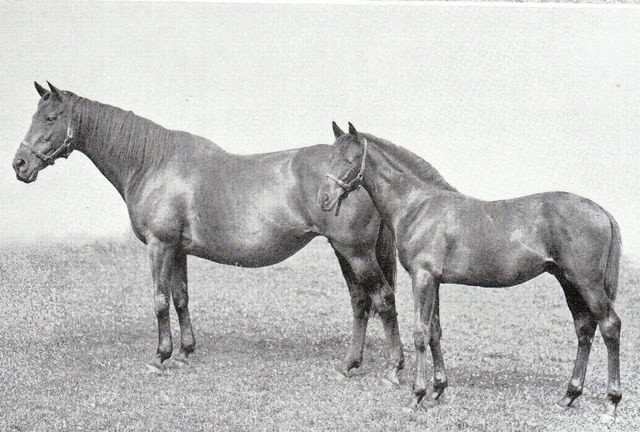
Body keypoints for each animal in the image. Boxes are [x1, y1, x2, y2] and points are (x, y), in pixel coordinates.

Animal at [12, 82, 405, 383]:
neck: (152, 162)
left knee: (383, 299)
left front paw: (160, 356)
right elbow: (181, 298)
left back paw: (395, 370)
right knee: (360, 302)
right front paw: (186, 351)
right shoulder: (177, 249)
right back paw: (349, 365)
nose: (20, 165)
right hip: (344, 252)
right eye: (33, 117)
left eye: (50, 118)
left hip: (356, 252)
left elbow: (159, 300)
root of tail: (361, 174)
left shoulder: (159, 246)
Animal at [318, 122, 622, 420]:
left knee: (610, 326)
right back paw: (569, 396)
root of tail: (603, 212)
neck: (417, 205)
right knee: (584, 329)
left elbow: (420, 333)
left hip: (587, 283)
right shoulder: (434, 281)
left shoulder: (422, 277)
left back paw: (611, 403)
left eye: (350, 160)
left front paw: (416, 396)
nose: (324, 199)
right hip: (568, 281)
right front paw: (437, 389)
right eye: (329, 158)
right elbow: (434, 332)